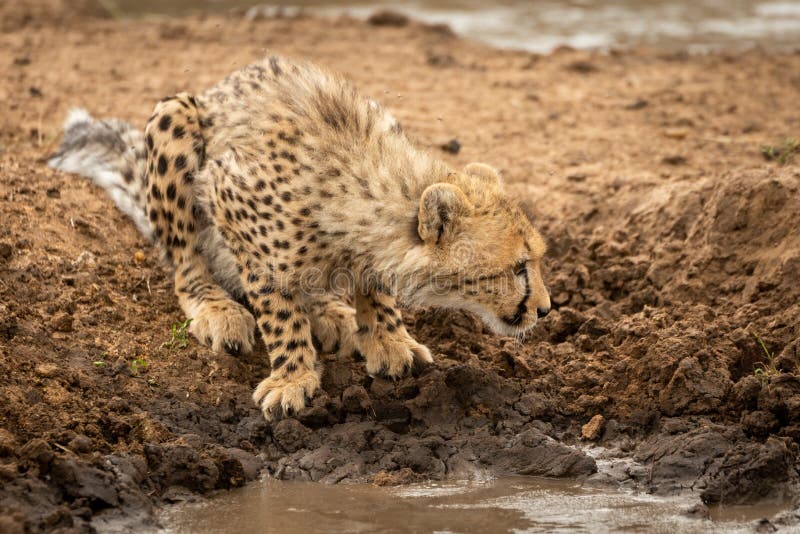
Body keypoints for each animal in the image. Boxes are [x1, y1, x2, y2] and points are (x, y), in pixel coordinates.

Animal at [49, 55, 551, 420]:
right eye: (518, 267)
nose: (546, 309)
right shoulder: (228, 195)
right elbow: (277, 309)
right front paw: (293, 378)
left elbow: (375, 287)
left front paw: (388, 340)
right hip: (174, 117)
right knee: (185, 259)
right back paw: (215, 307)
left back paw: (333, 313)